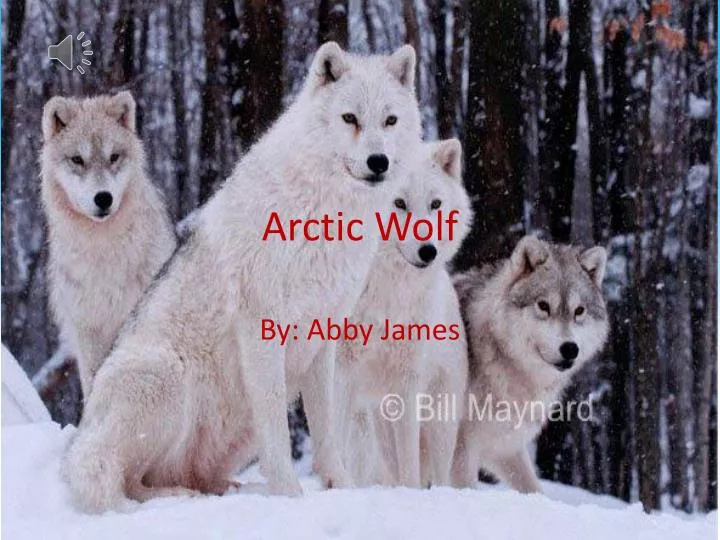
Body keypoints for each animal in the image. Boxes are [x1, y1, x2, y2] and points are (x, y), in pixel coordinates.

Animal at [64, 42, 422, 512]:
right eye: (350, 118)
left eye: (390, 120)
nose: (378, 162)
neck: (323, 212)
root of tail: (83, 436)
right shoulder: (262, 329)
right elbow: (278, 432)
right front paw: (289, 495)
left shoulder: (323, 338)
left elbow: (327, 431)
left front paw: (340, 488)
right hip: (166, 377)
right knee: (126, 482)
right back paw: (178, 497)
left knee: (191, 476)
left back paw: (225, 489)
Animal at [336, 139, 472, 488]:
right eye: (398, 202)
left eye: (435, 204)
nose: (428, 251)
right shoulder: (341, 373)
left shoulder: (408, 380)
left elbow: (409, 463)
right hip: (373, 422)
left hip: (439, 423)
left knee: (436, 473)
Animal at [451, 236, 609, 493]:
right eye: (543, 305)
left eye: (579, 311)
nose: (570, 348)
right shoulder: (461, 448)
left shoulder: (505, 447)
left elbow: (535, 489)